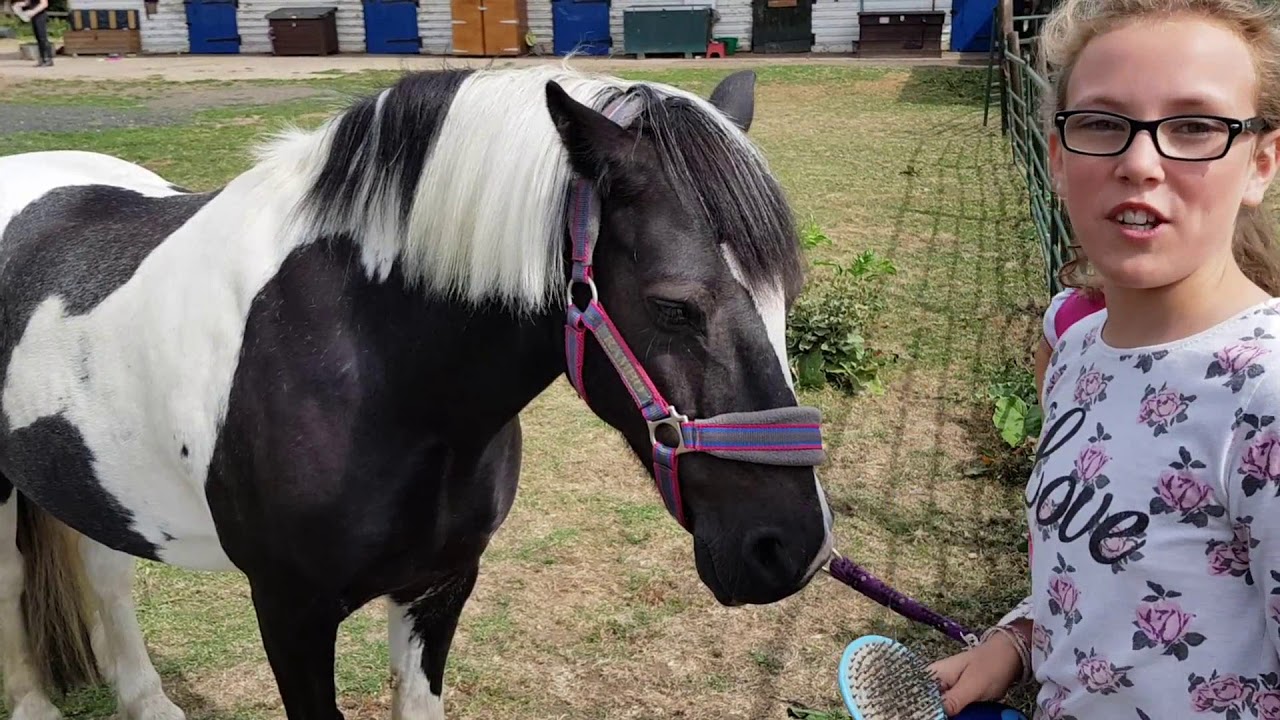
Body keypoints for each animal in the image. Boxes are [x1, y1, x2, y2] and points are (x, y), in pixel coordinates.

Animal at [0, 64, 834, 720]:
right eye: (673, 307)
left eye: (787, 296)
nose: (790, 548)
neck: (364, 370)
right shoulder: (289, 613)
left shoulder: (440, 588)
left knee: (106, 571)